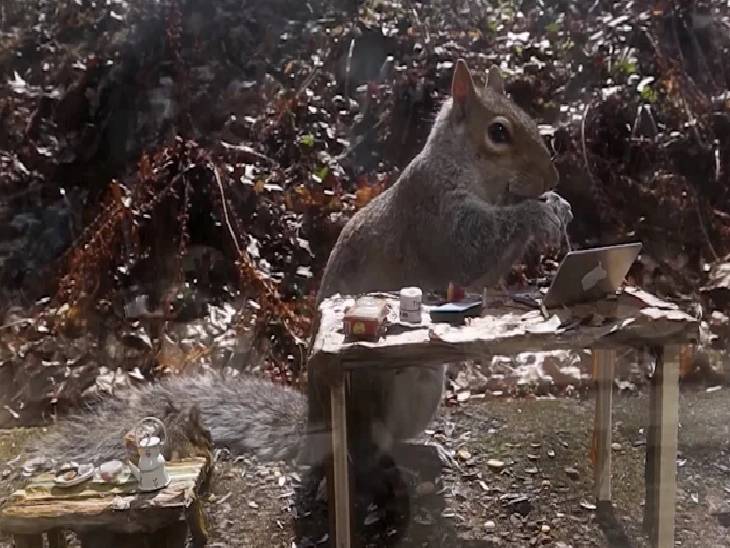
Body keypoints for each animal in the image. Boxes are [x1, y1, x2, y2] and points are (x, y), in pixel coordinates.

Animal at [16, 59, 571, 476]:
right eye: (498, 132)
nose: (553, 176)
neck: (466, 170)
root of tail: (315, 426)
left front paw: (557, 206)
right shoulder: (432, 212)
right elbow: (469, 249)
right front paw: (540, 212)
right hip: (377, 387)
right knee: (370, 447)